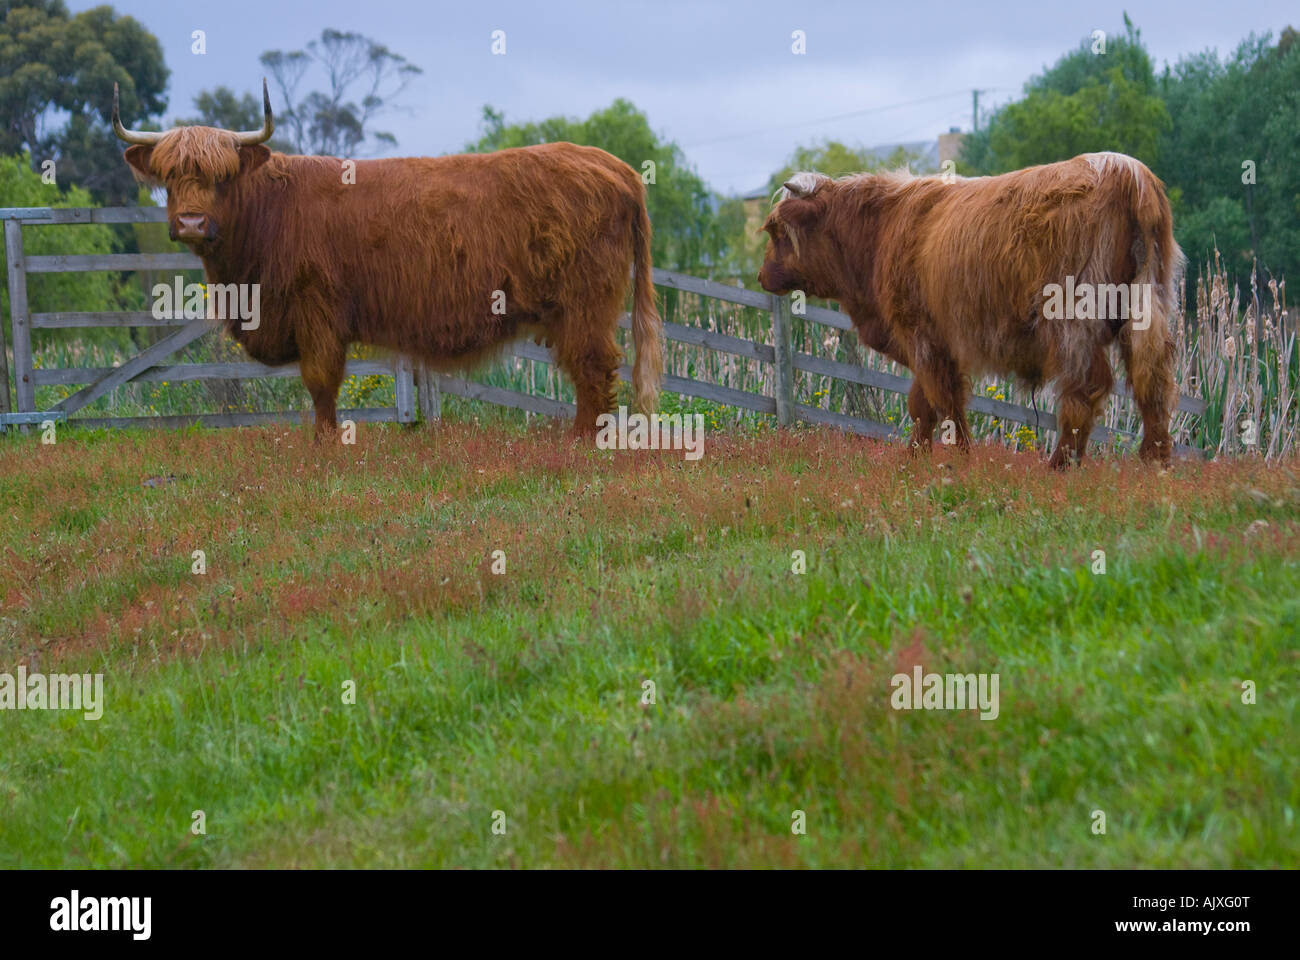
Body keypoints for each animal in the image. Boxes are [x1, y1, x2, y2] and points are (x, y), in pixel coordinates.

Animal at [112, 81, 662, 439]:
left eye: (222, 176)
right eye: (169, 175)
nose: (191, 223)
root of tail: (614, 166)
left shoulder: (317, 308)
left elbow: (320, 382)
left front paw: (326, 444)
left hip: (585, 305)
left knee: (594, 367)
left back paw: (582, 442)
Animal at [757, 152, 1183, 468]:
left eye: (776, 231)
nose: (761, 276)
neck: (880, 232)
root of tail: (1124, 168)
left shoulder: (921, 334)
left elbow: (942, 400)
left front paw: (959, 457)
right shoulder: (936, 343)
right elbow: (922, 403)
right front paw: (914, 458)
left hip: (1072, 320)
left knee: (1086, 387)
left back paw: (1061, 465)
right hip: (1148, 305)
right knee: (1153, 380)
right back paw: (1155, 462)